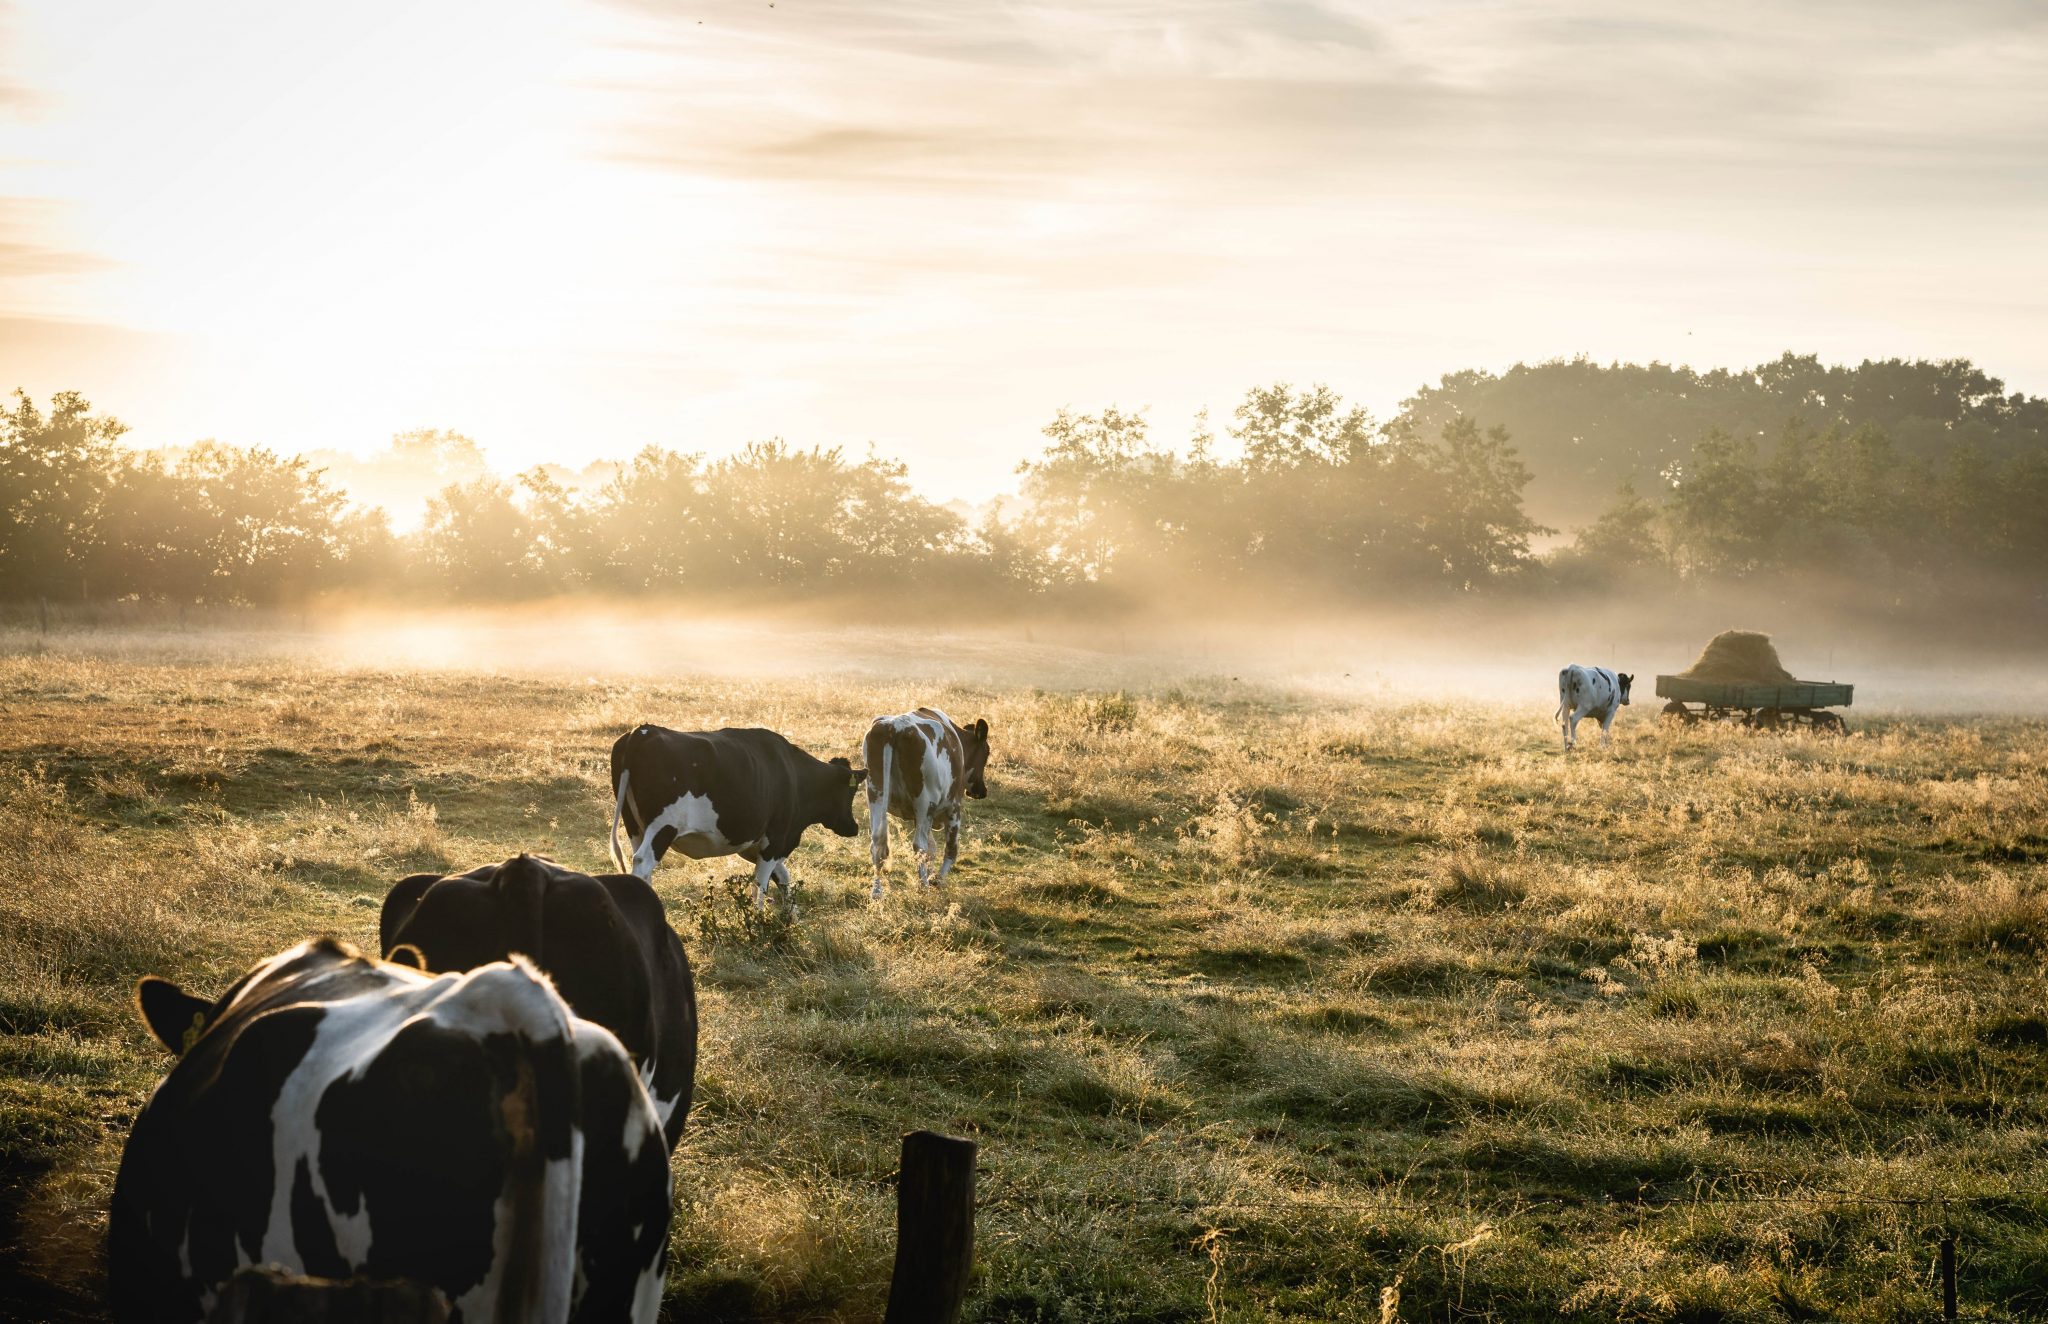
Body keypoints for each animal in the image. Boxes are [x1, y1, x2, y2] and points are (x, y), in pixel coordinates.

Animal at [608, 724, 866, 910]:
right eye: (851, 791)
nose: (853, 827)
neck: (793, 774)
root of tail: (642, 731)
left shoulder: (756, 845)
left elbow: (782, 876)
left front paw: (790, 917)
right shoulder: (776, 838)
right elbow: (761, 885)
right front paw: (760, 921)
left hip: (635, 827)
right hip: (663, 826)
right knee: (643, 862)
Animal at [862, 708, 990, 901]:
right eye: (987, 753)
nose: (982, 791)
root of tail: (894, 727)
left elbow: (932, 849)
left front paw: (931, 876)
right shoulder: (953, 807)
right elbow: (950, 848)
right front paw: (937, 880)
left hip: (876, 793)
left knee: (877, 841)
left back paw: (877, 891)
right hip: (924, 801)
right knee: (919, 845)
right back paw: (923, 887)